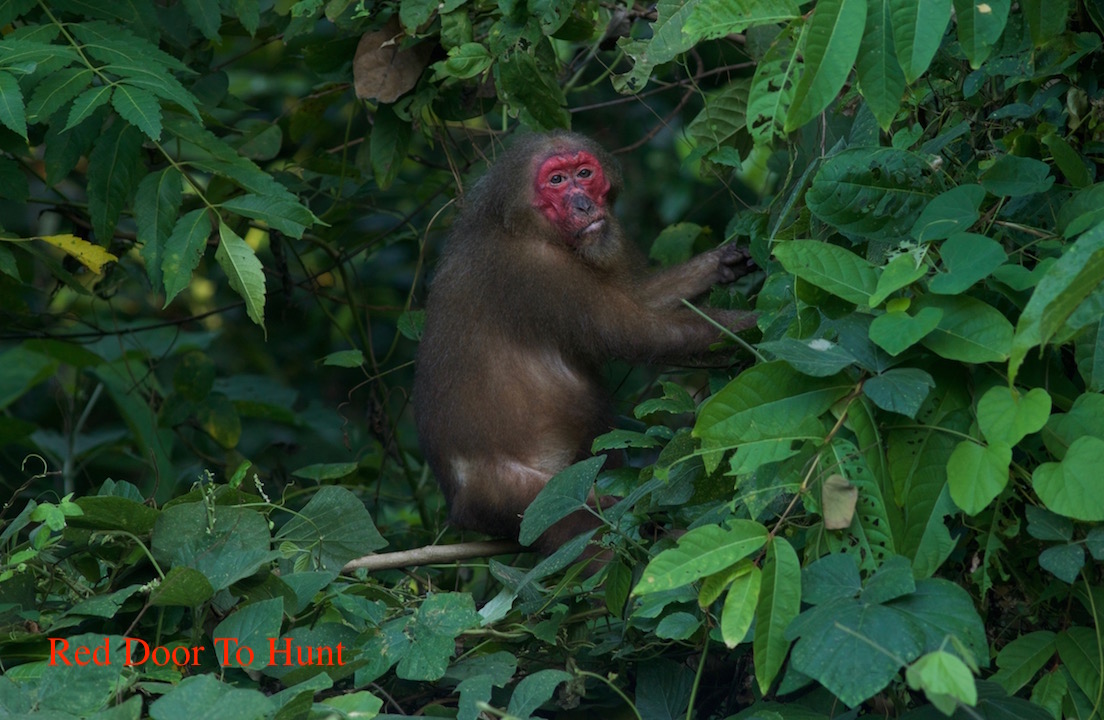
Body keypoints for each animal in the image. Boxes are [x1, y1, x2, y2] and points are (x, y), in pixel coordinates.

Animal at [413, 131, 756, 560]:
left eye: (584, 174)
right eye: (557, 181)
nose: (583, 203)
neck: (529, 227)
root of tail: (458, 506)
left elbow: (639, 302)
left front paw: (716, 265)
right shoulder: (537, 270)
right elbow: (634, 330)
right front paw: (760, 328)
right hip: (528, 500)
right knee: (588, 529)